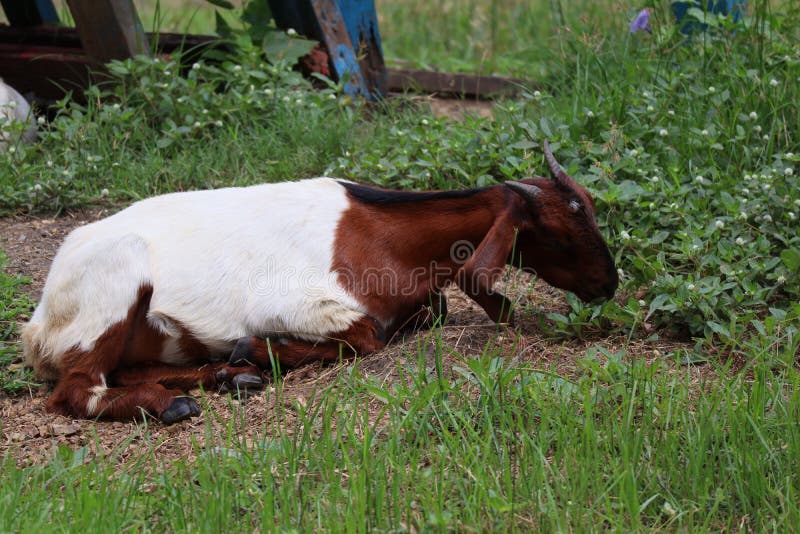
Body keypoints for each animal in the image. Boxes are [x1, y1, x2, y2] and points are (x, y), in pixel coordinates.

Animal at [23, 140, 618, 424]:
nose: (609, 285)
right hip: (115, 285)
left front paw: (245, 361)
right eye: (558, 236)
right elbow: (366, 337)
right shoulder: (294, 303)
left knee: (127, 369)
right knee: (74, 389)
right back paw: (176, 402)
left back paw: (226, 378)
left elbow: (436, 309)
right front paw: (256, 348)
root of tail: (37, 325)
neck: (383, 236)